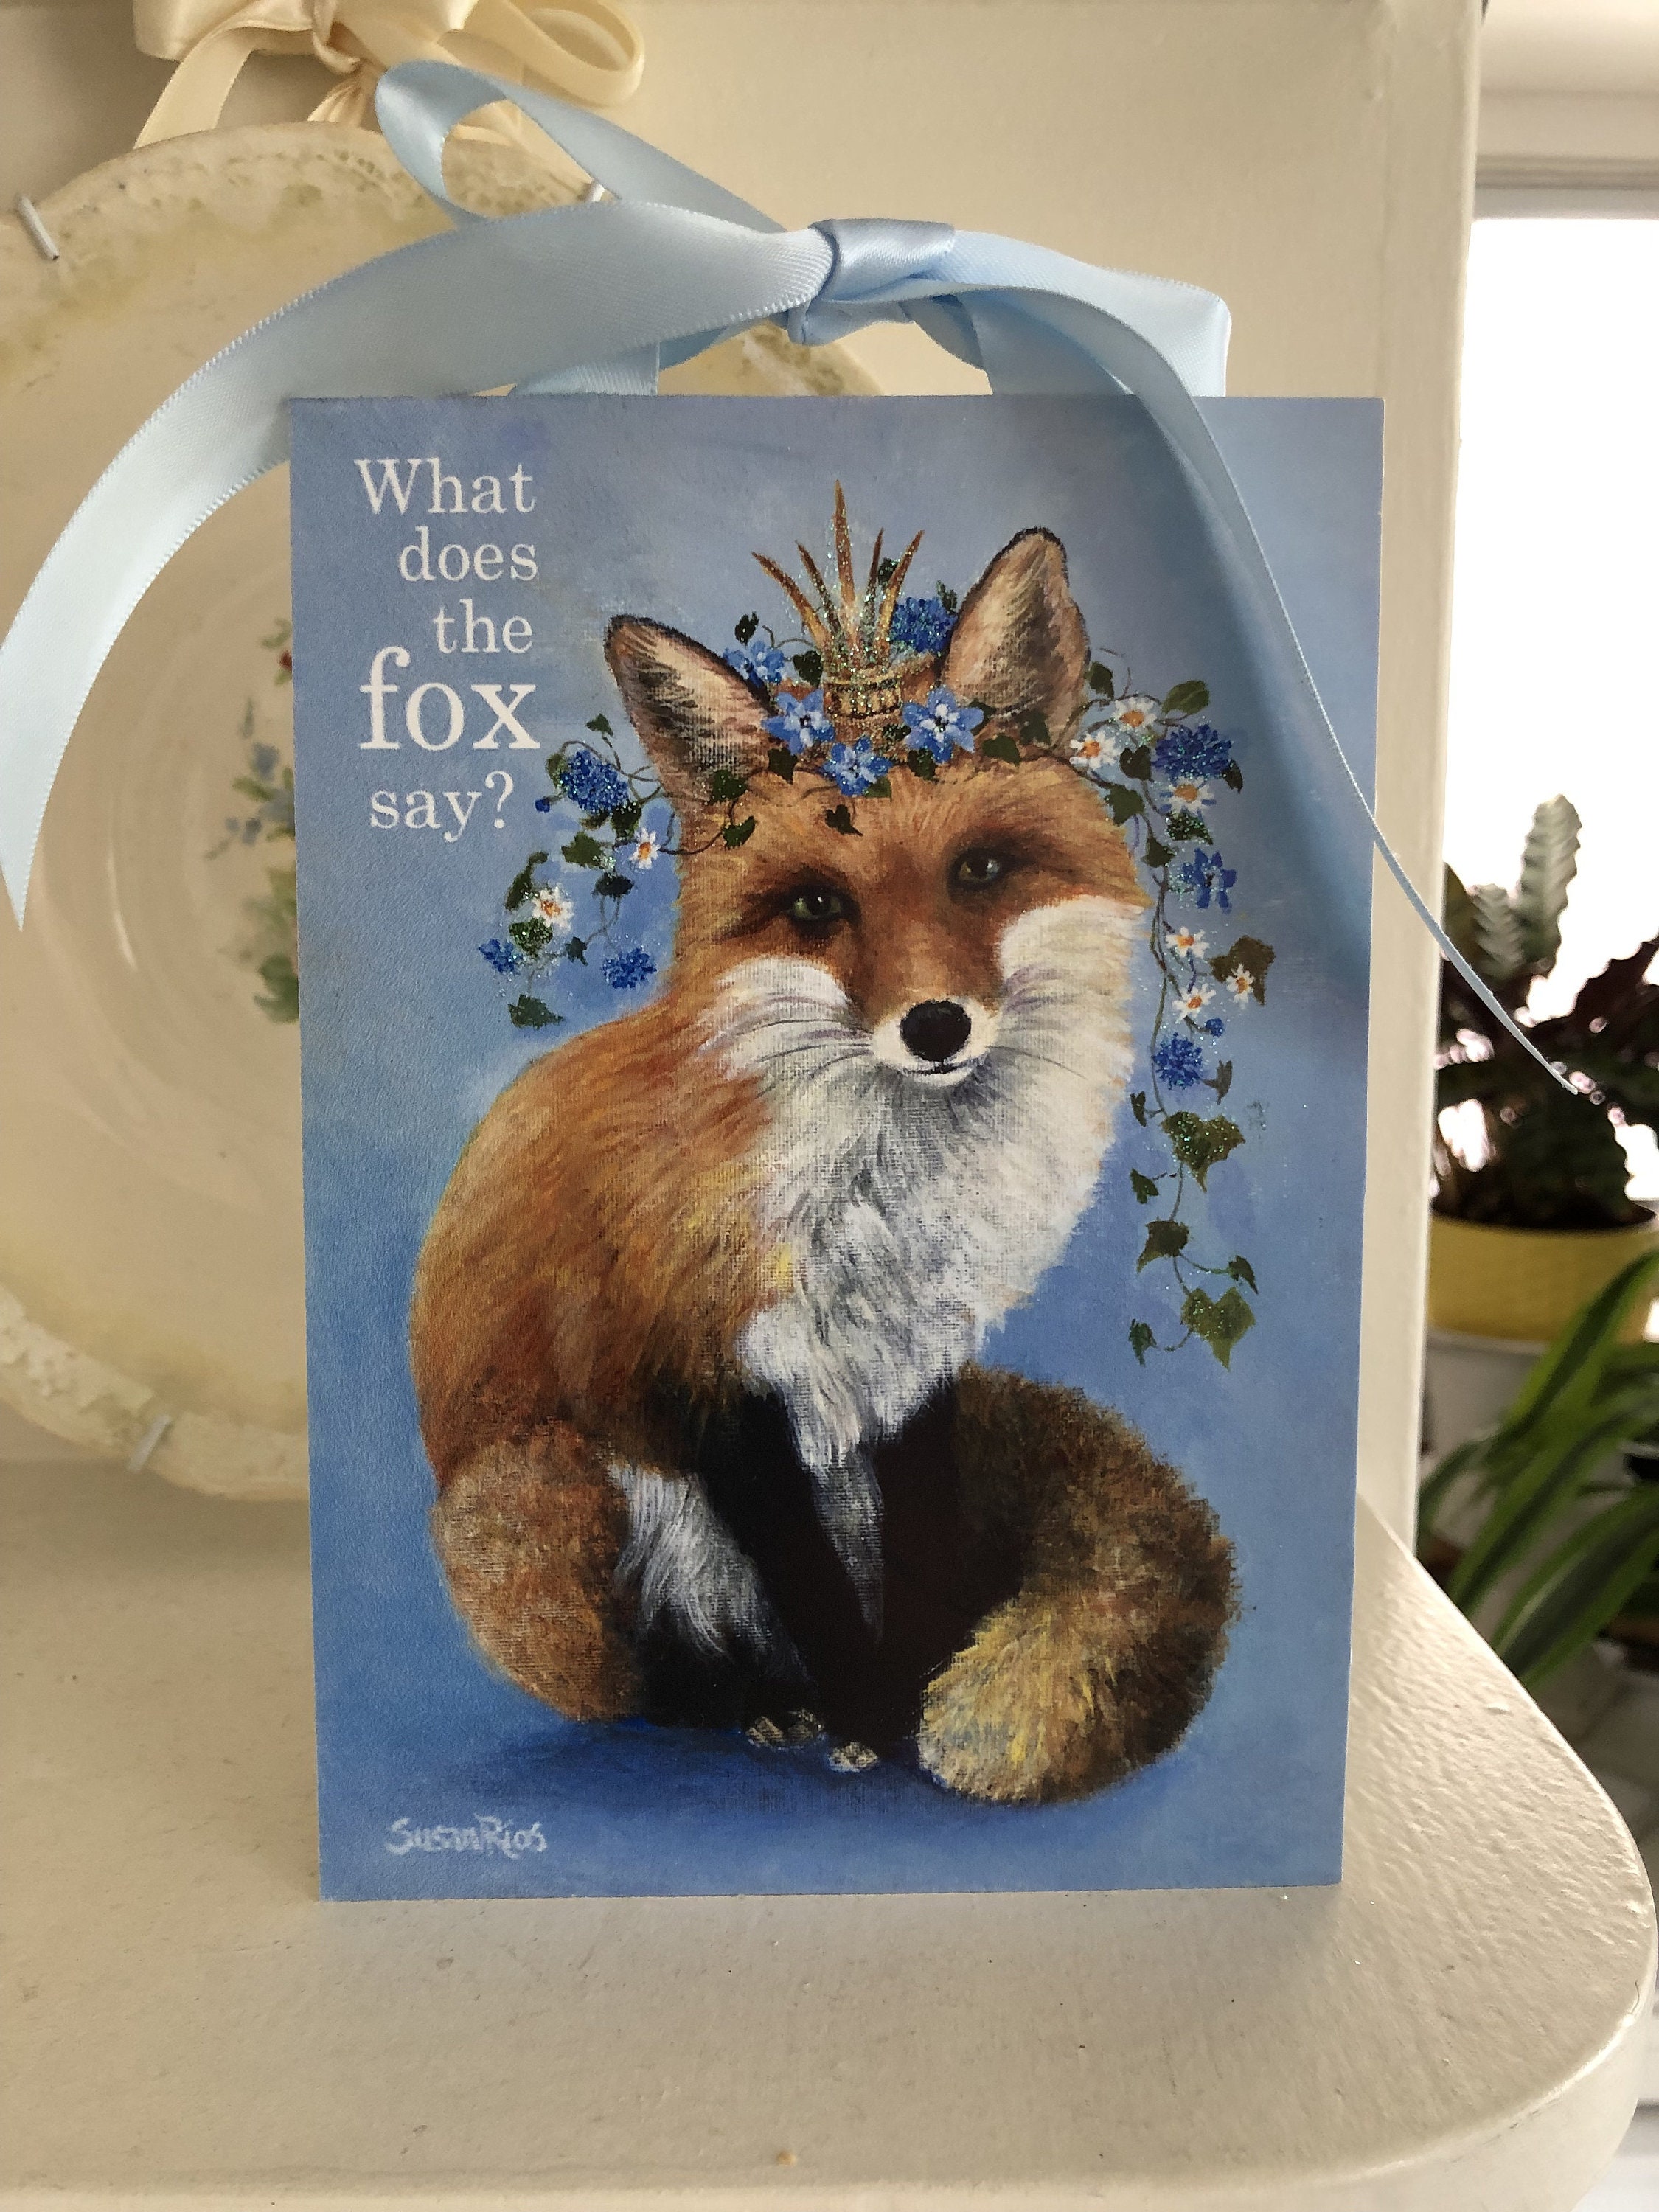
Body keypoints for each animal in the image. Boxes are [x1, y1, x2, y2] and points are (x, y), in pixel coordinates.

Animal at [409, 511, 1236, 1805]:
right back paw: (751, 1704)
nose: (936, 1028)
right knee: (649, 1678)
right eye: (813, 907)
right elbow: (806, 1584)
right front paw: (860, 1714)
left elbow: (922, 1556)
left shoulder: (918, 1362)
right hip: (549, 1491)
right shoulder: (705, 1376)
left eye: (978, 872)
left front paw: (905, 1703)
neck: (882, 1191)